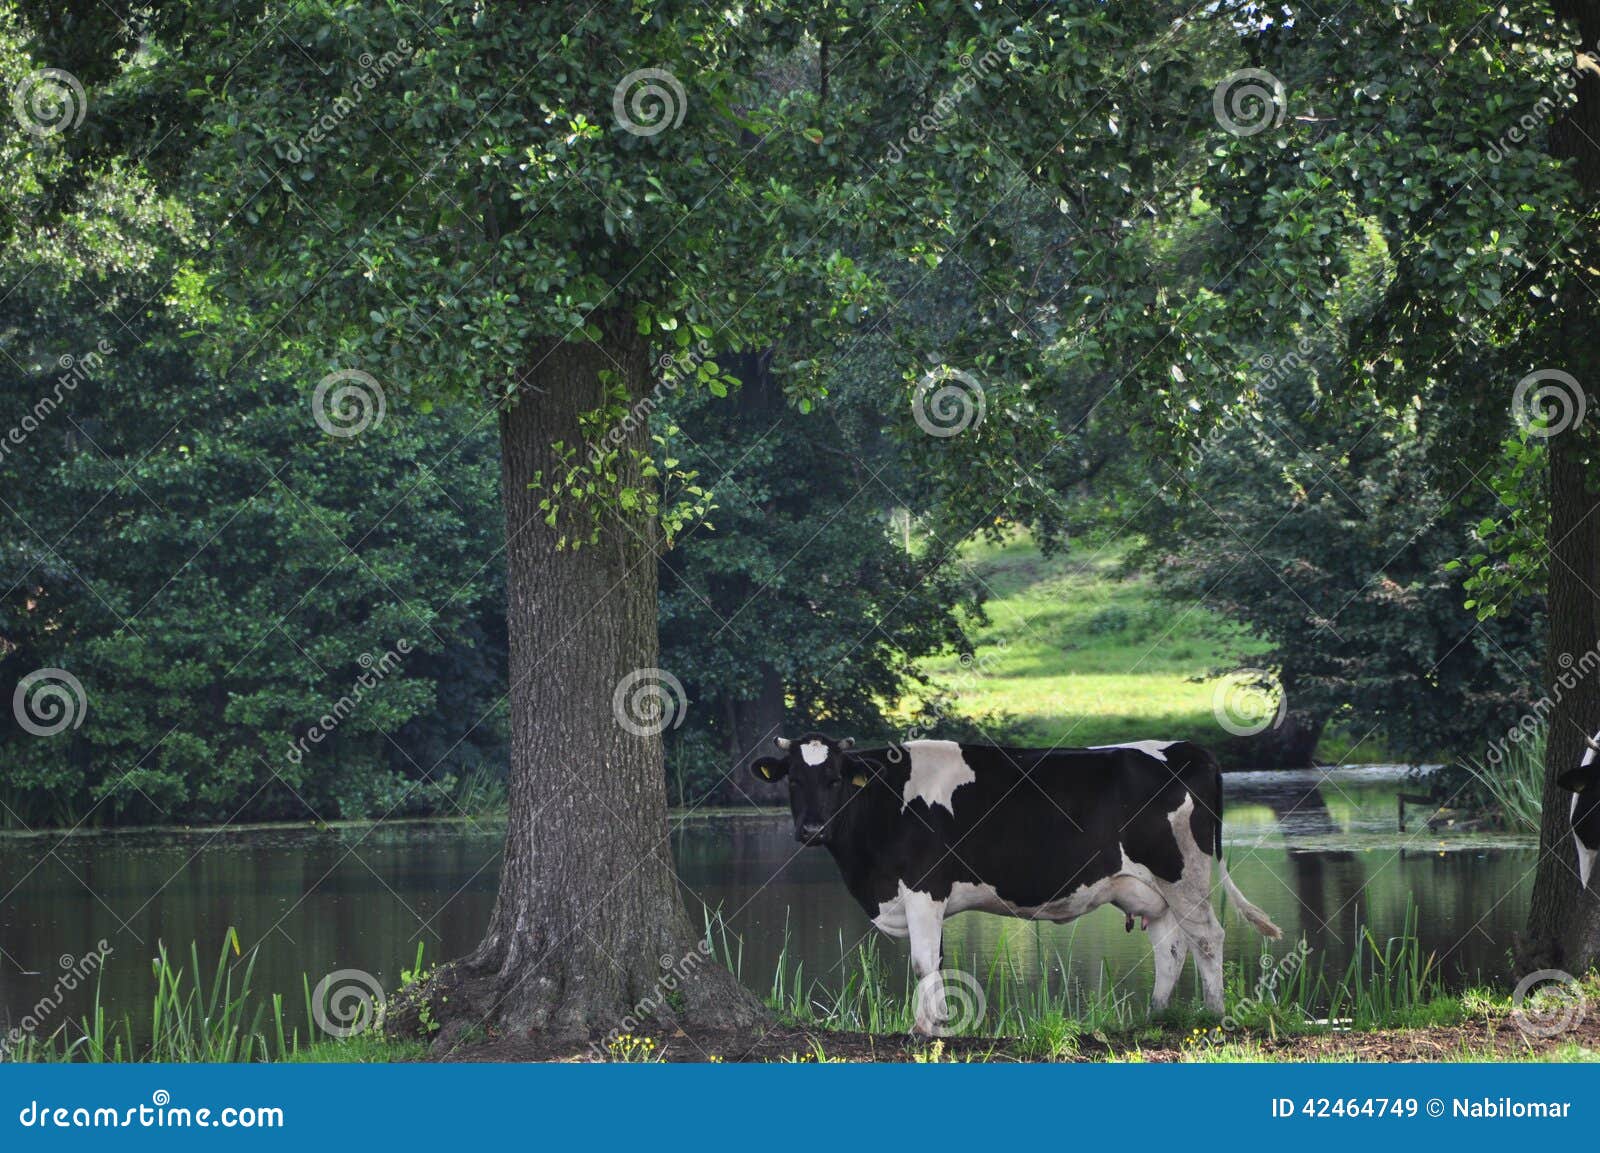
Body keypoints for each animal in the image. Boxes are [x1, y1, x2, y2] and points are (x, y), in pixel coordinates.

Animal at [751, 732, 1281, 1035]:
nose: (812, 829)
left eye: (836, 778)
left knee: (1208, 938)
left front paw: (924, 1029)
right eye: (793, 780)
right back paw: (1156, 1016)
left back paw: (1214, 1013)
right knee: (1170, 949)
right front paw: (940, 1022)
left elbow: (923, 962)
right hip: (1150, 890)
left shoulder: (923, 888)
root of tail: (1191, 749)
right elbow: (937, 961)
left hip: (1183, 874)